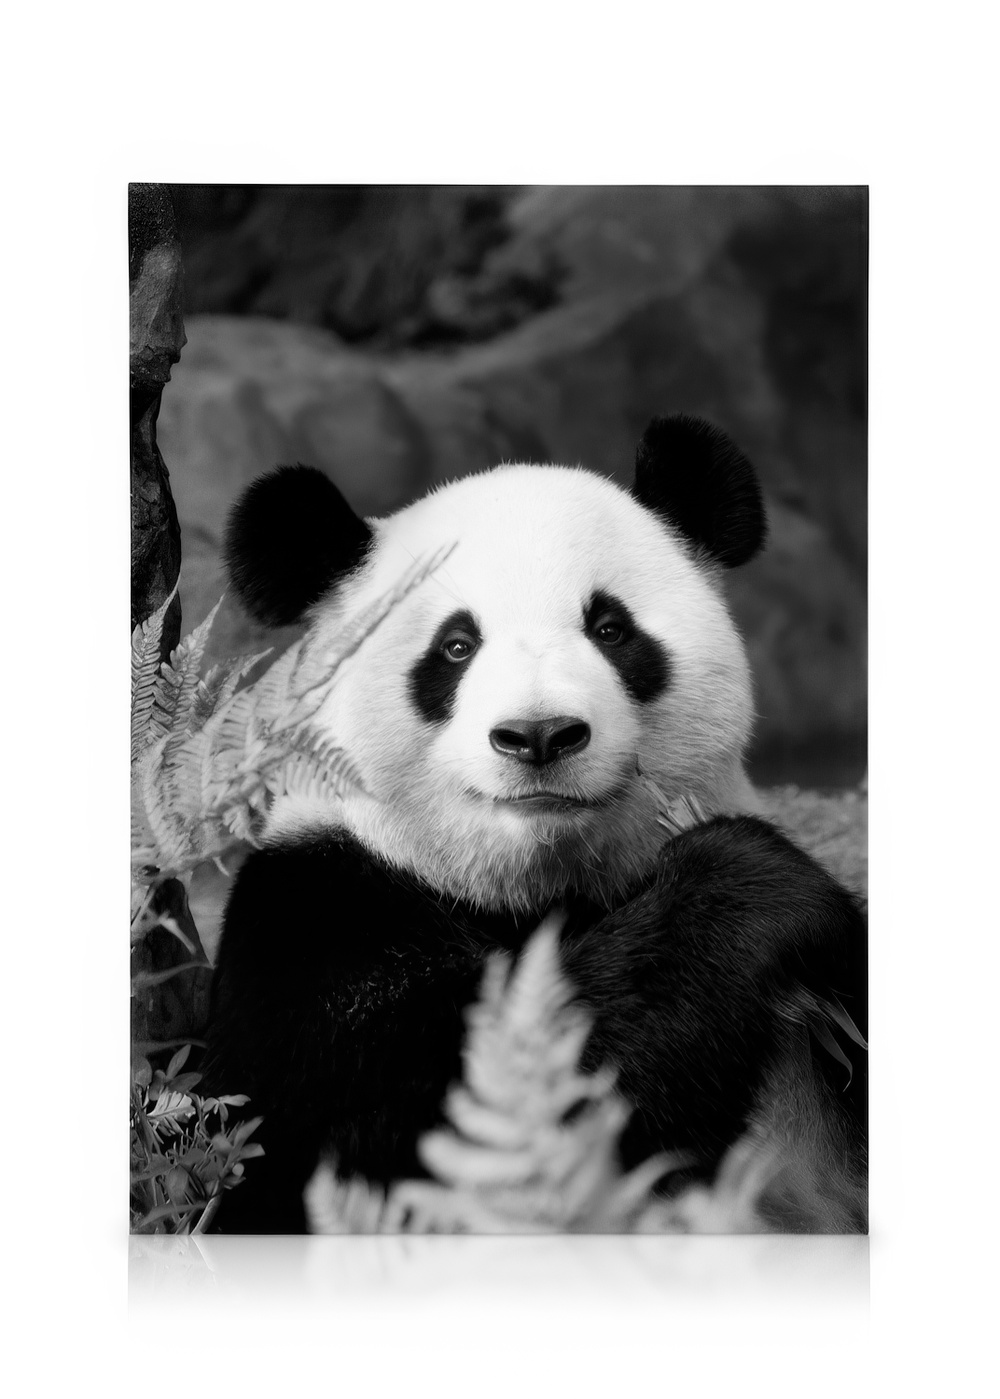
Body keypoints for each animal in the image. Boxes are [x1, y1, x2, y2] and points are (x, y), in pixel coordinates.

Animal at [201, 414, 867, 1234]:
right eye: (456, 646)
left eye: (610, 628)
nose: (541, 734)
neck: (534, 884)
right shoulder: (313, 918)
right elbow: (424, 1125)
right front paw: (749, 887)